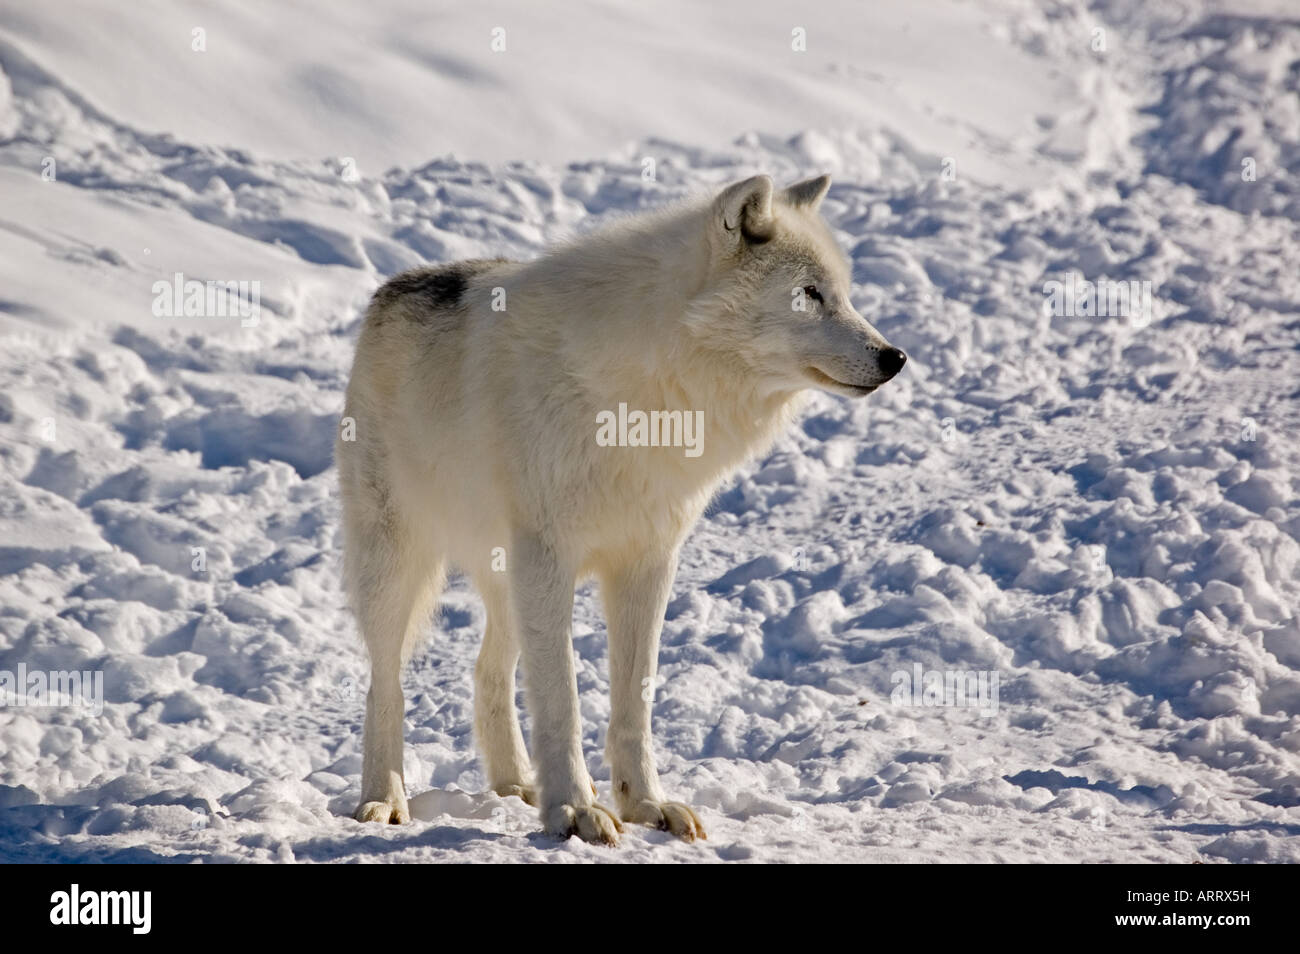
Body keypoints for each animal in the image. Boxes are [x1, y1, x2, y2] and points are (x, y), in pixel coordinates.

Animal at [337, 174, 906, 845]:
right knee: (385, 684)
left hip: (507, 582)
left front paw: (645, 806)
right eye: (809, 294)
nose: (895, 357)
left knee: (487, 673)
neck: (654, 384)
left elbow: (635, 701)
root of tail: (394, 286)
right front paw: (576, 811)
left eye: (843, 293)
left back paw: (516, 786)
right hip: (399, 565)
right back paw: (384, 799)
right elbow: (563, 702)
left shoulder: (648, 561)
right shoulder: (550, 561)